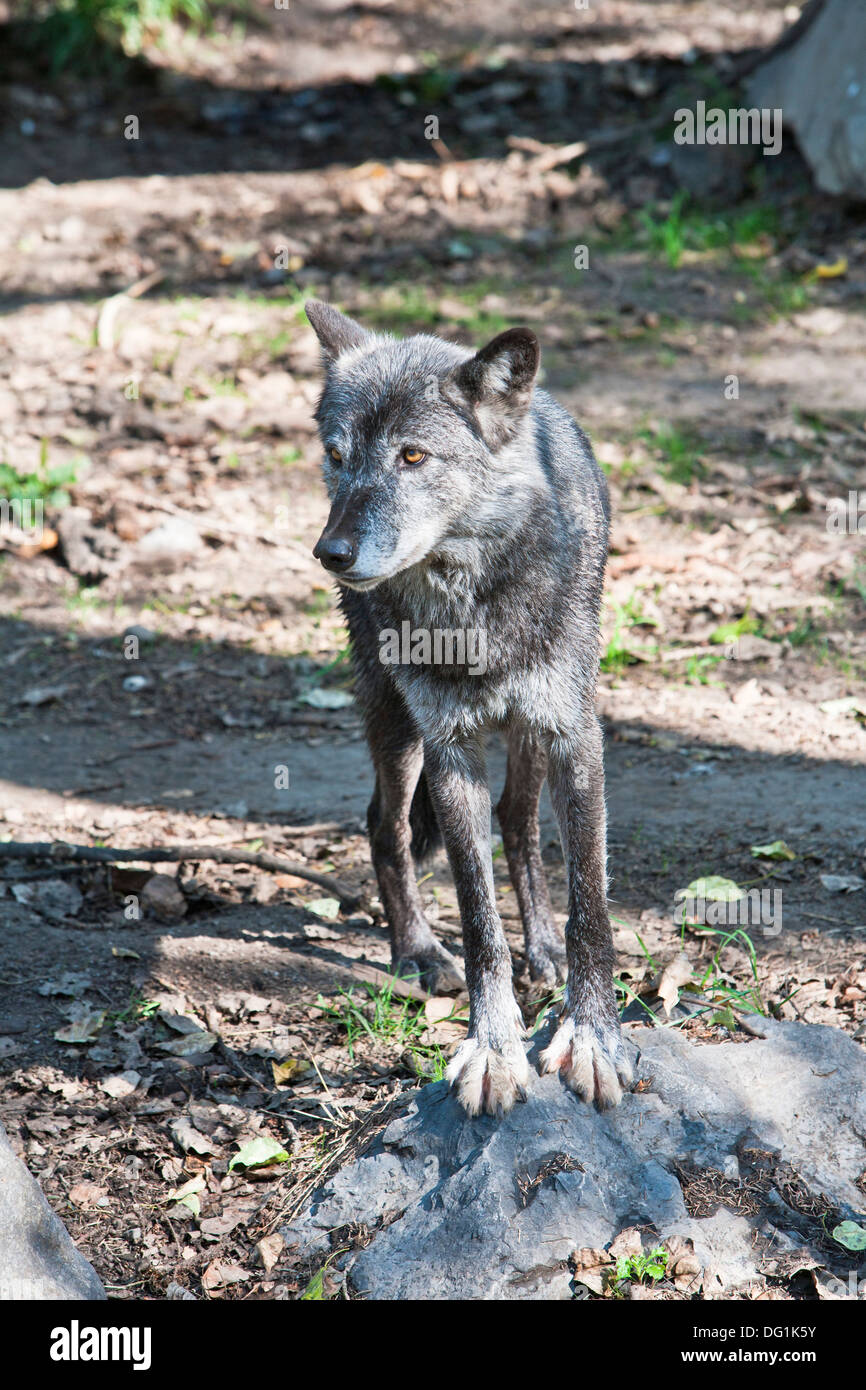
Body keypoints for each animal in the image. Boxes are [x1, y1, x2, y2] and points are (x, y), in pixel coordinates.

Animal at [305, 300, 631, 1117]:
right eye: (337, 455)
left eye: (413, 457)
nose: (332, 552)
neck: (469, 602)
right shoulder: (450, 748)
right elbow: (480, 920)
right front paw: (494, 1047)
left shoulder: (575, 734)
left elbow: (590, 905)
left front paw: (592, 1039)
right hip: (394, 722)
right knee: (384, 826)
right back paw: (419, 951)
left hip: (527, 734)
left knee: (518, 820)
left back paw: (540, 947)